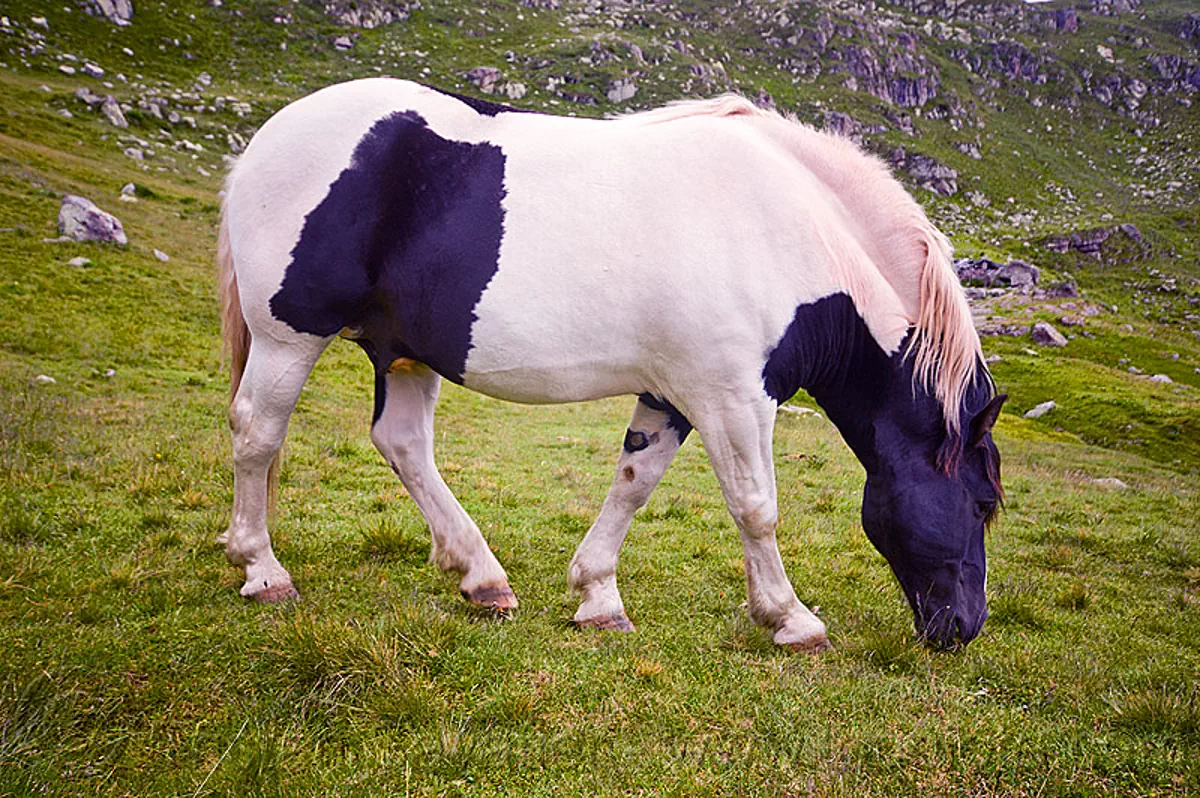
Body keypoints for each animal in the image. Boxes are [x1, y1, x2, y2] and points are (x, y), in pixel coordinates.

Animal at [216, 78, 1005, 652]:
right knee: (257, 434)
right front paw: (789, 618)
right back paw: (263, 569)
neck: (791, 233)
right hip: (290, 336)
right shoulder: (733, 399)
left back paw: (481, 577)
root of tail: (269, 137)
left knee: (403, 444)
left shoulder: (674, 396)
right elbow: (756, 507)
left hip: (404, 351)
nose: (963, 629)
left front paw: (597, 596)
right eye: (982, 505)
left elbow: (633, 483)